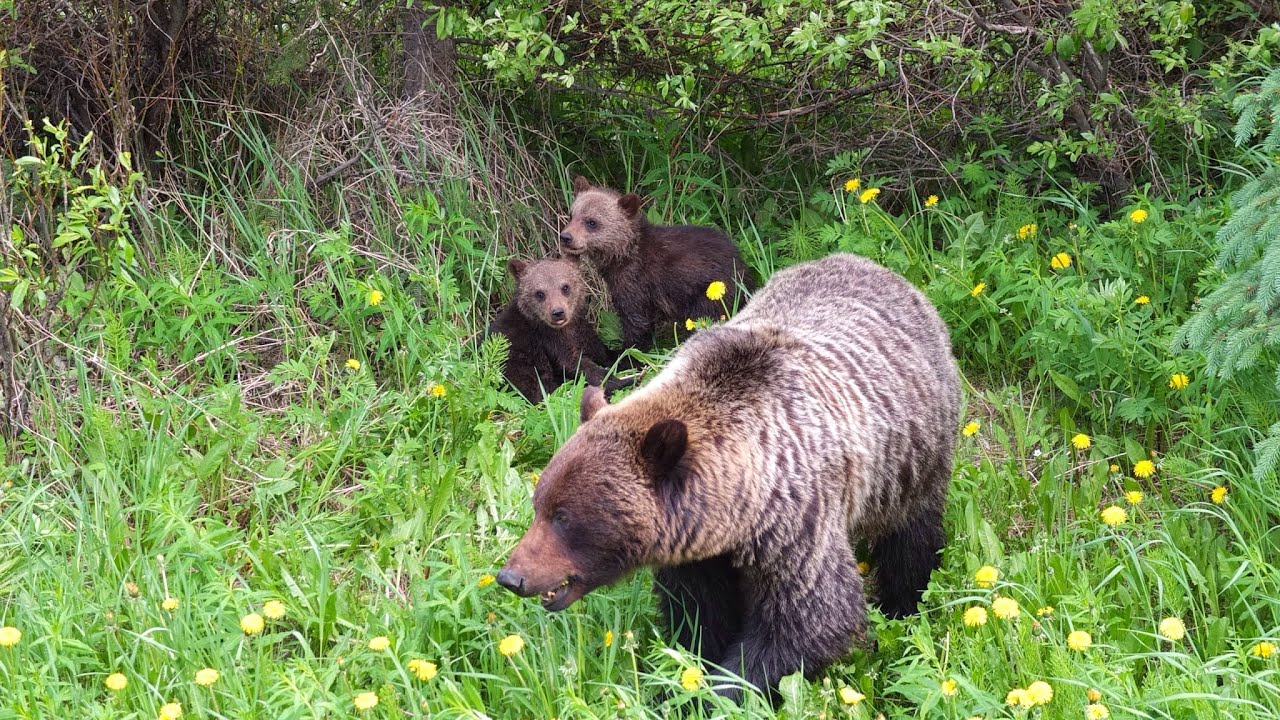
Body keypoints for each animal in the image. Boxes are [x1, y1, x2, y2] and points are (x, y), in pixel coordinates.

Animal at [487, 257, 628, 403]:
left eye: (565, 287)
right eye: (539, 293)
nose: (558, 312)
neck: (565, 329)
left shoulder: (582, 332)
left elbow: (606, 354)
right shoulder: (548, 341)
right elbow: (574, 364)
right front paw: (621, 380)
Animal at [559, 176, 755, 350]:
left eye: (591, 222)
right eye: (571, 215)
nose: (566, 237)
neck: (623, 256)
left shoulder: (636, 285)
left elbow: (637, 323)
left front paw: (625, 355)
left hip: (711, 293)